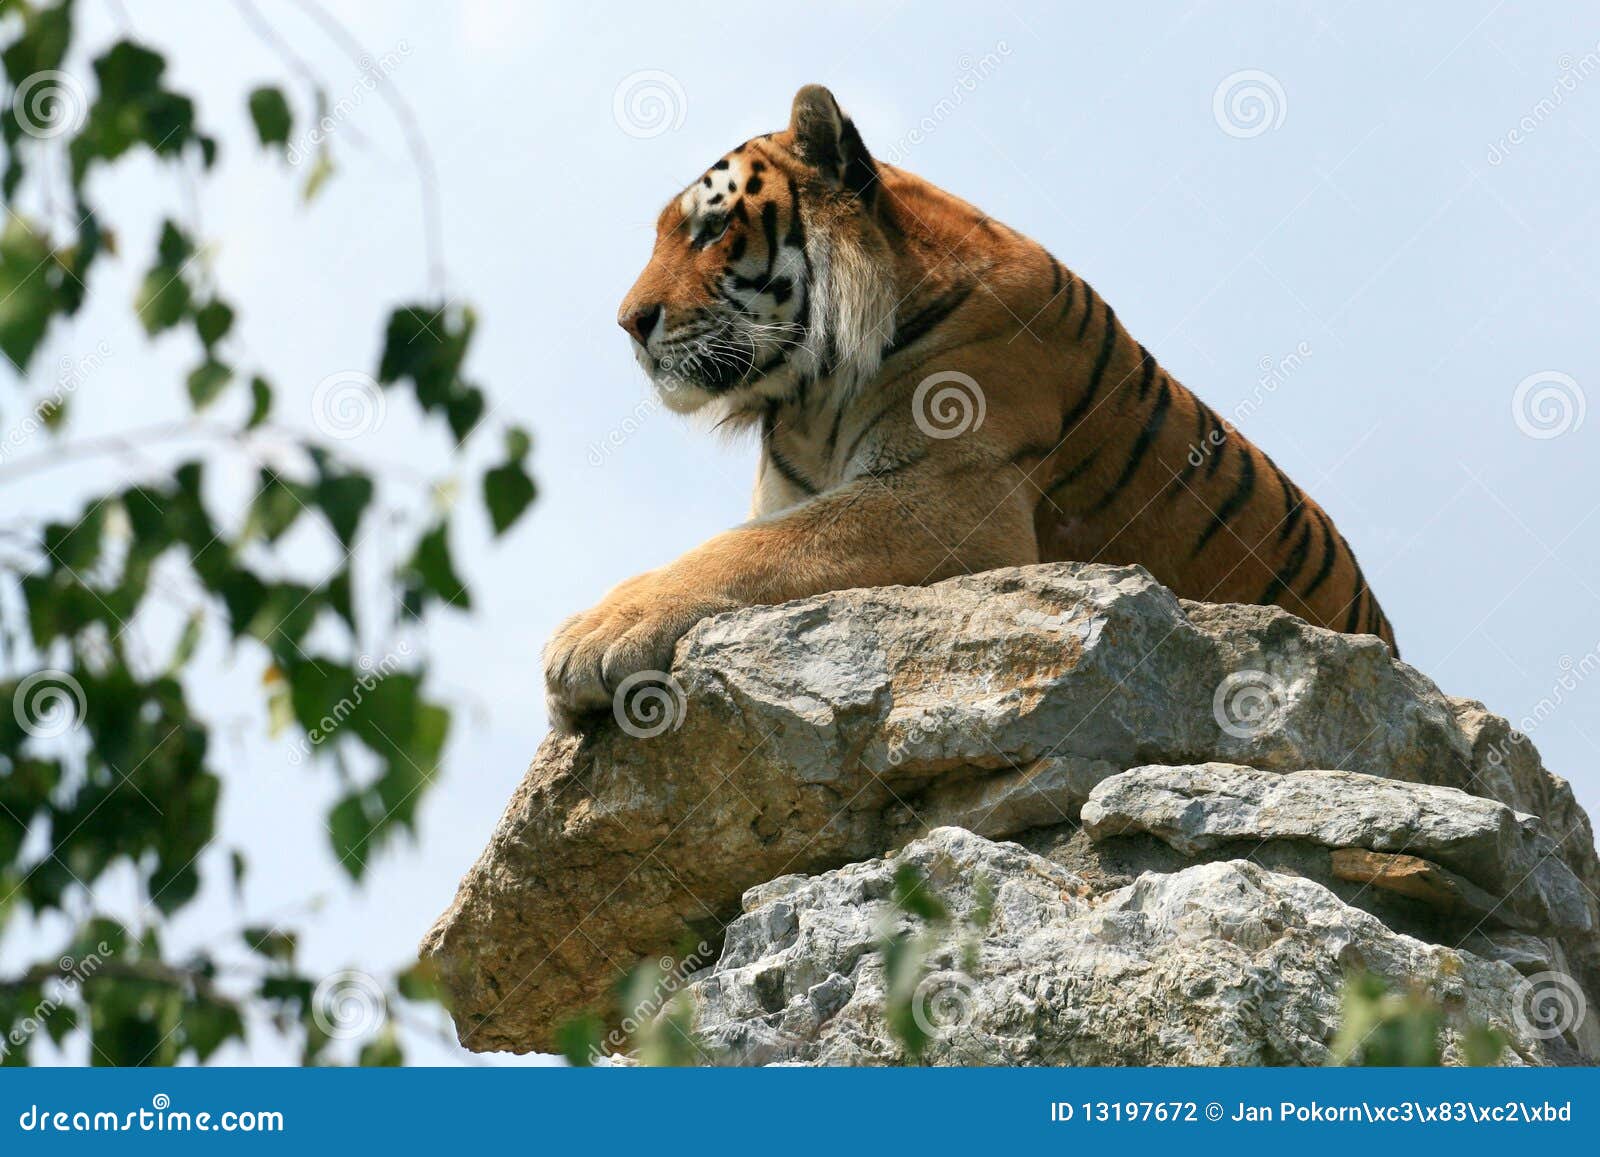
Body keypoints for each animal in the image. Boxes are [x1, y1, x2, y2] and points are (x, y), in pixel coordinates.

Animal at [543, 83, 1397, 728]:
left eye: (713, 228)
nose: (628, 322)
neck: (809, 400)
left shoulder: (949, 495)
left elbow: (751, 549)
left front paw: (594, 634)